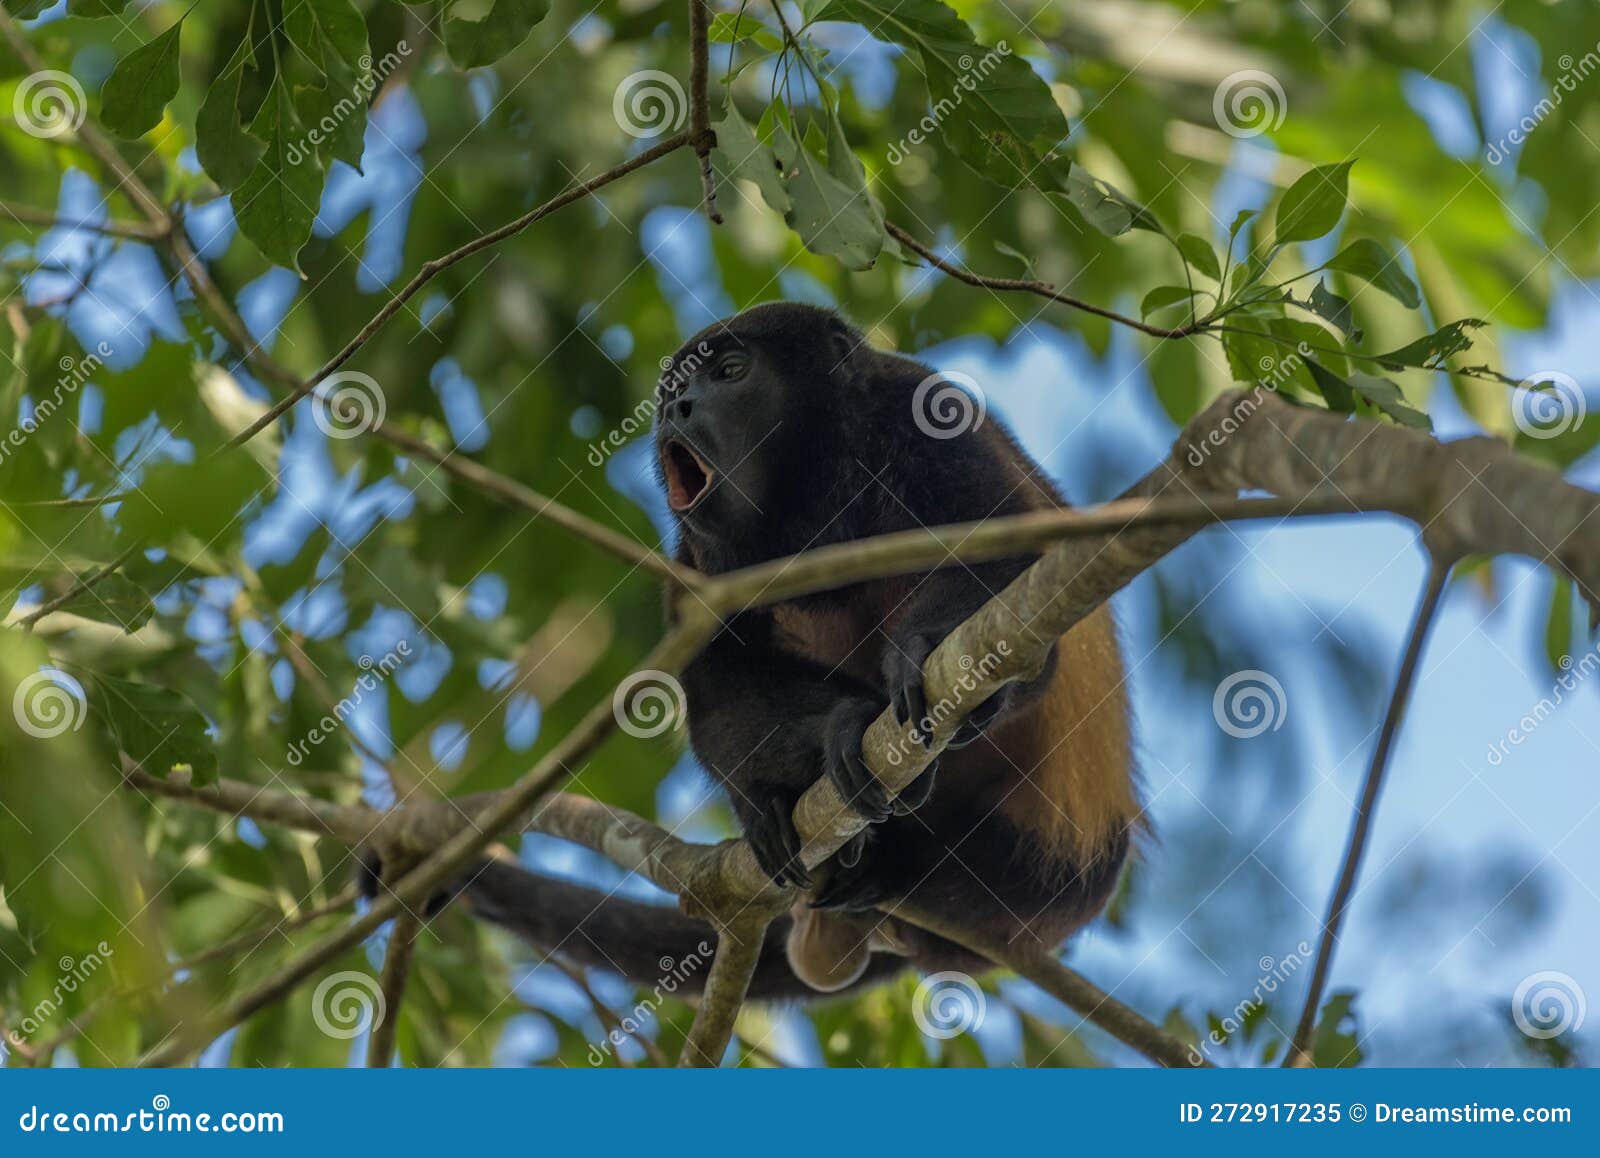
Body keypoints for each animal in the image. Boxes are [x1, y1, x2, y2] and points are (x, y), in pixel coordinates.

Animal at [367, 302, 1139, 1001]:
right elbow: (718, 686)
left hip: (1056, 882)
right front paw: (827, 739)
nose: (677, 407)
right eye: (675, 386)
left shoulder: (927, 413)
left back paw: (891, 862)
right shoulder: (695, 562)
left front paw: (920, 651)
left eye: (731, 373)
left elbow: (1010, 571)